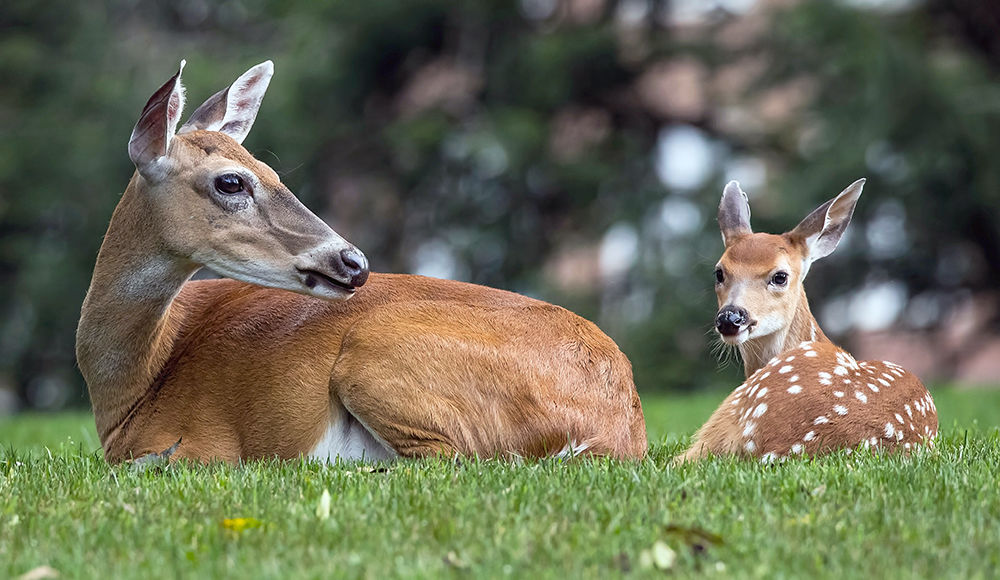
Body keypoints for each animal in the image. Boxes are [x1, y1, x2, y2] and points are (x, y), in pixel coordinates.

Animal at [76, 60, 647, 465]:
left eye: (269, 170)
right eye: (232, 180)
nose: (353, 262)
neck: (135, 383)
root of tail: (619, 432)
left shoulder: (199, 443)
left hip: (375, 357)